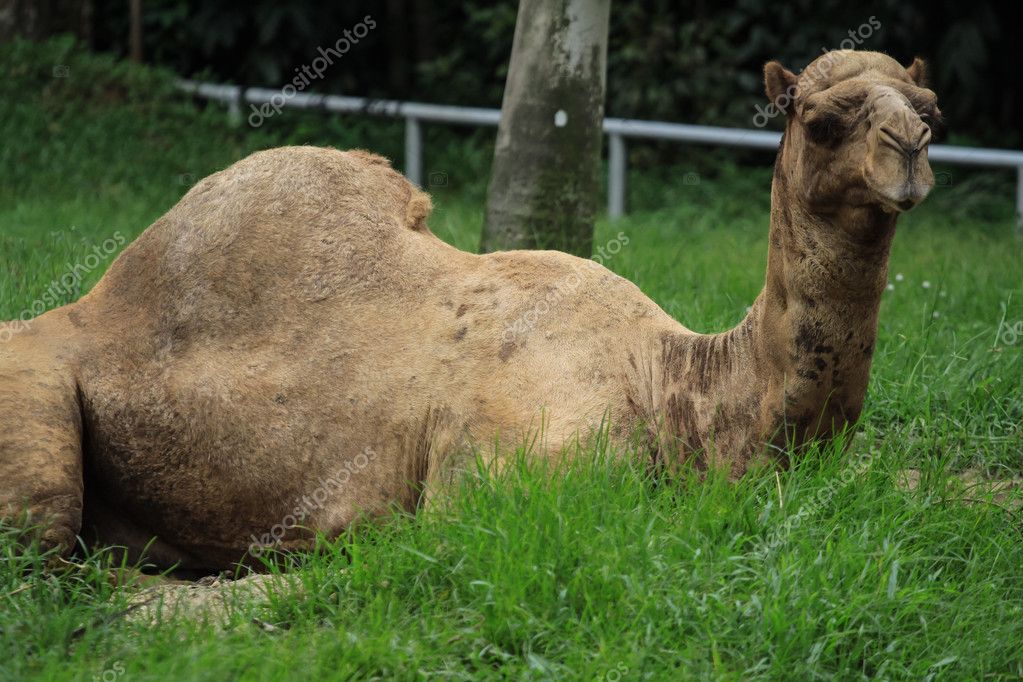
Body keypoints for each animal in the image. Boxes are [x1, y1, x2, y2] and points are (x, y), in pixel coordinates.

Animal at [0, 51, 938, 572]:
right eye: (820, 119)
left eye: (929, 110)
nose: (910, 151)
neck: (679, 389)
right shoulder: (490, 485)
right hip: (34, 408)